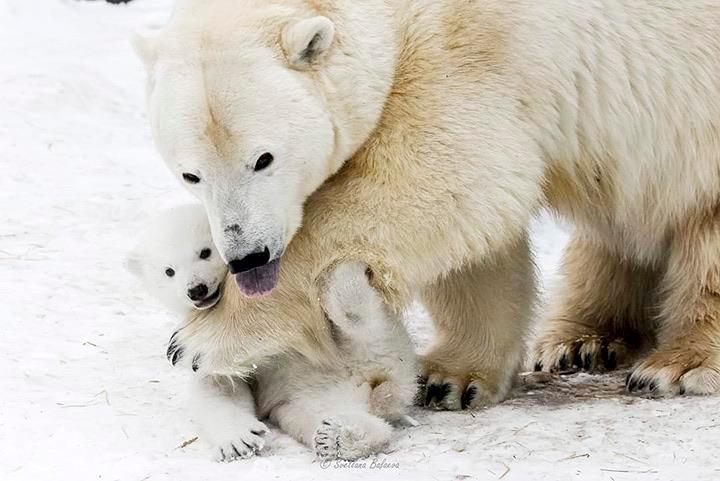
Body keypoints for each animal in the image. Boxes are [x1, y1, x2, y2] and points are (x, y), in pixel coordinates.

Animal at [127, 205, 418, 460]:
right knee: (317, 413)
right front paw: (238, 442)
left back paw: (344, 276)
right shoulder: (209, 353)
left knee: (360, 321)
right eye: (168, 271)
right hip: (316, 395)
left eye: (204, 252)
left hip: (365, 345)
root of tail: (384, 383)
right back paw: (337, 436)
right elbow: (219, 389)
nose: (196, 289)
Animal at [132, 0, 720, 408]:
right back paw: (579, 340)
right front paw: (451, 377)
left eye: (263, 158)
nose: (247, 257)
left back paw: (677, 365)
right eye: (191, 174)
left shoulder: (469, 53)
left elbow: (433, 180)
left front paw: (198, 341)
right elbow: (473, 241)